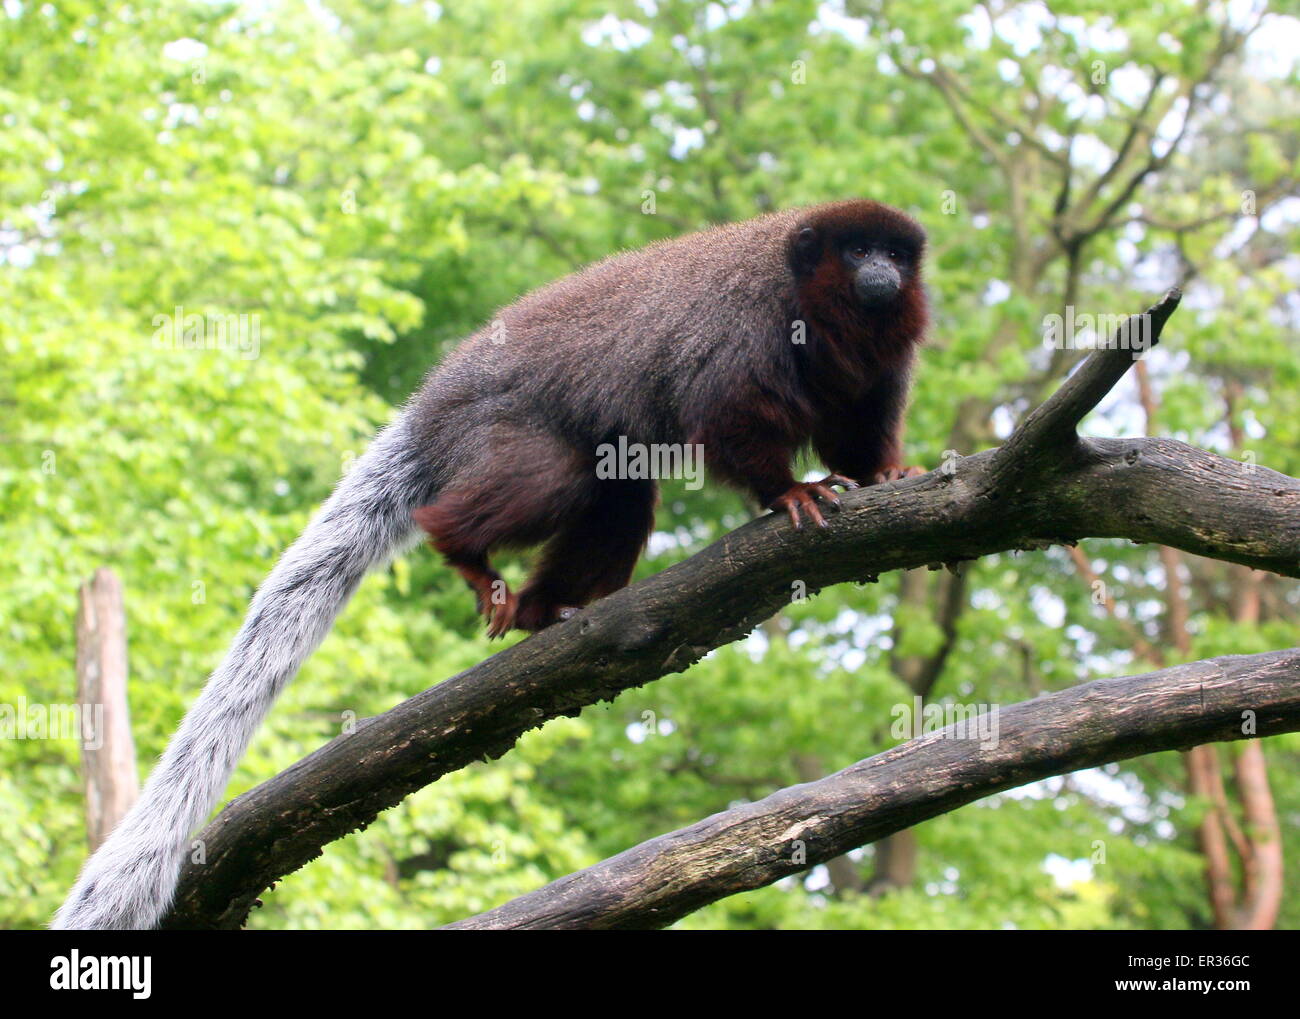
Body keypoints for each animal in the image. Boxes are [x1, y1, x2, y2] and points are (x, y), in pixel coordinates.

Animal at [53, 198, 928, 929]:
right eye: (856, 252)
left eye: (891, 252)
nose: (881, 273)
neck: (818, 310)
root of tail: (429, 405)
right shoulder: (749, 330)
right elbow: (727, 414)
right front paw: (788, 492)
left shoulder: (871, 364)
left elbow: (856, 421)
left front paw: (886, 472)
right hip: (492, 422)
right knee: (550, 479)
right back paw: (462, 548)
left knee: (617, 489)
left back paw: (552, 612)